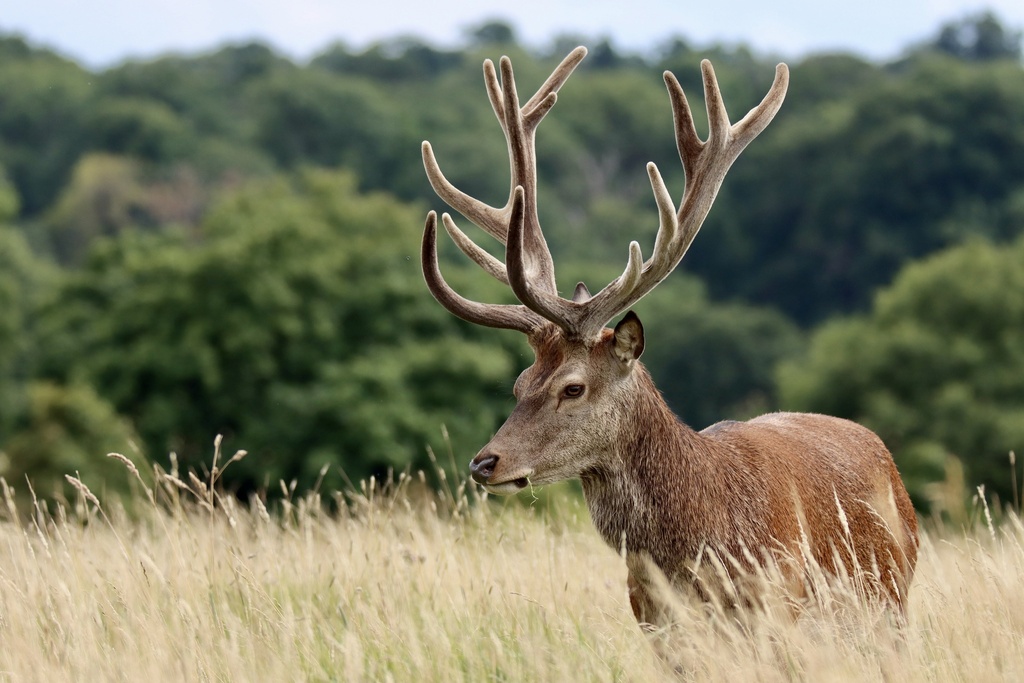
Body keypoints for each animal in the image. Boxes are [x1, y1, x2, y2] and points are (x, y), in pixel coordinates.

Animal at [419, 46, 919, 629]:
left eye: (573, 386)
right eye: (520, 383)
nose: (484, 462)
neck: (702, 545)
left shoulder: (779, 608)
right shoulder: (655, 622)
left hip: (889, 600)